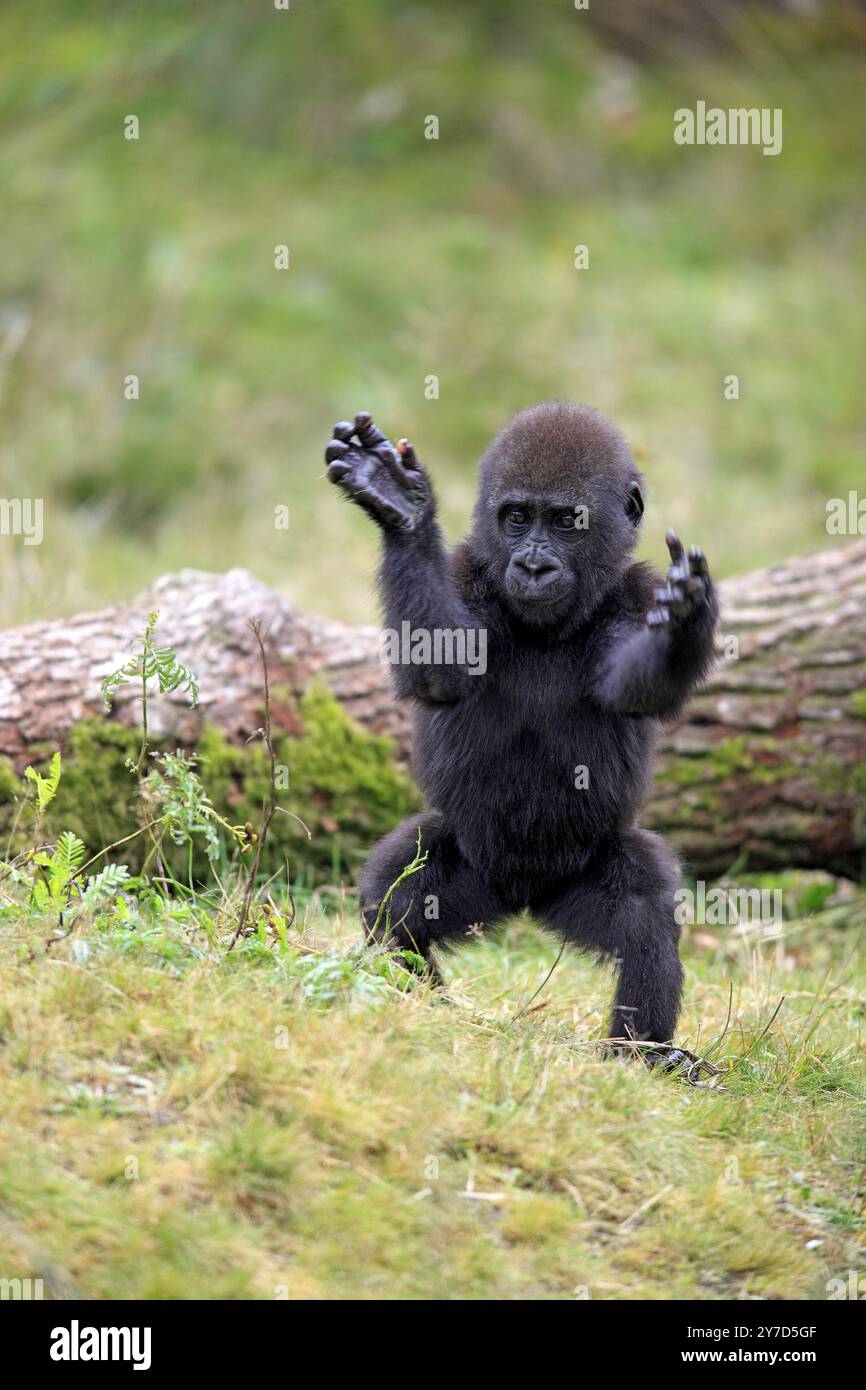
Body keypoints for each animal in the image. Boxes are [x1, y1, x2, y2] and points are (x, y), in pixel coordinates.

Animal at [324, 403, 718, 1059]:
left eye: (565, 521)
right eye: (516, 518)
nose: (534, 565)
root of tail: (525, 899)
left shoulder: (633, 597)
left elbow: (638, 687)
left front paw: (686, 623)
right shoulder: (466, 574)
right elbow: (440, 666)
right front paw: (400, 508)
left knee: (644, 917)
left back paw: (638, 1055)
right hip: (473, 876)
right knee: (396, 900)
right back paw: (419, 1002)